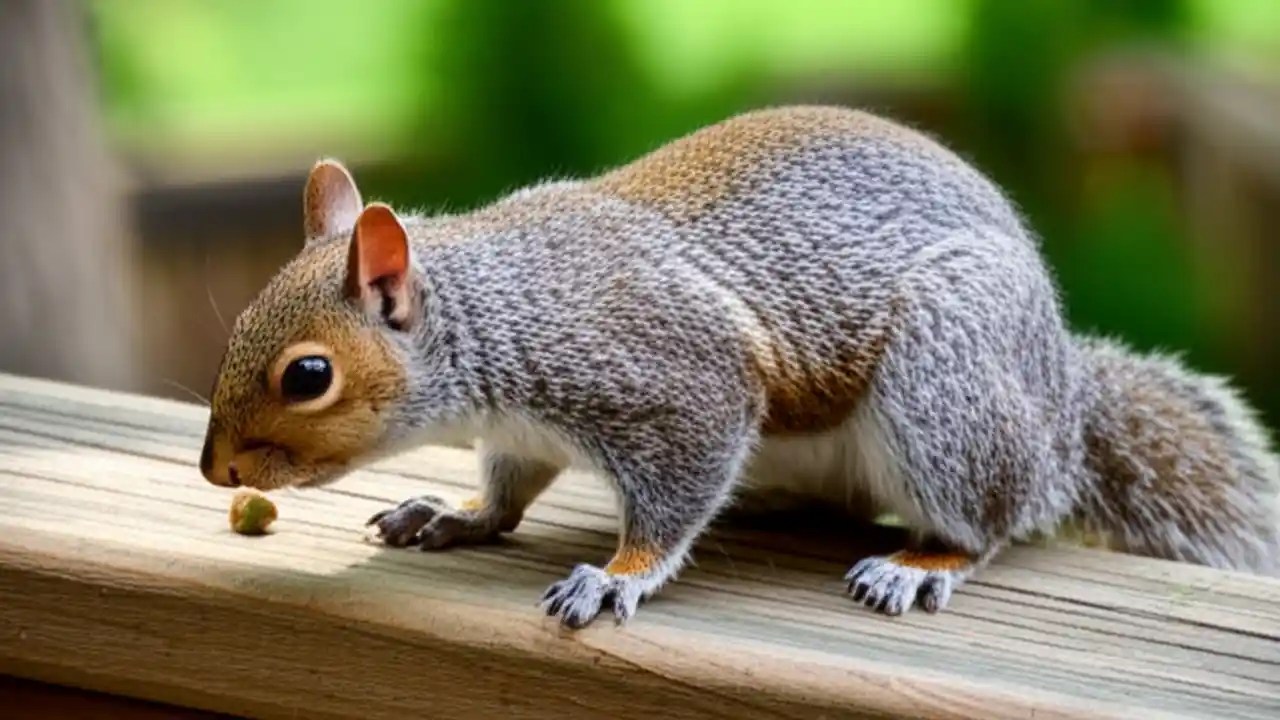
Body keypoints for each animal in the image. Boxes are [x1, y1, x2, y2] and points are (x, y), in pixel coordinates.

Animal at [199, 105, 1280, 628]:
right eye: (239, 318)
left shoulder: (676, 379)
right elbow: (508, 489)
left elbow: (671, 497)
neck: (498, 315)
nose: (215, 471)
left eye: (307, 376)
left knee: (993, 517)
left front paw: (617, 578)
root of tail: (1058, 409)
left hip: (946, 385)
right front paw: (458, 513)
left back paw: (921, 563)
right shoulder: (520, 433)